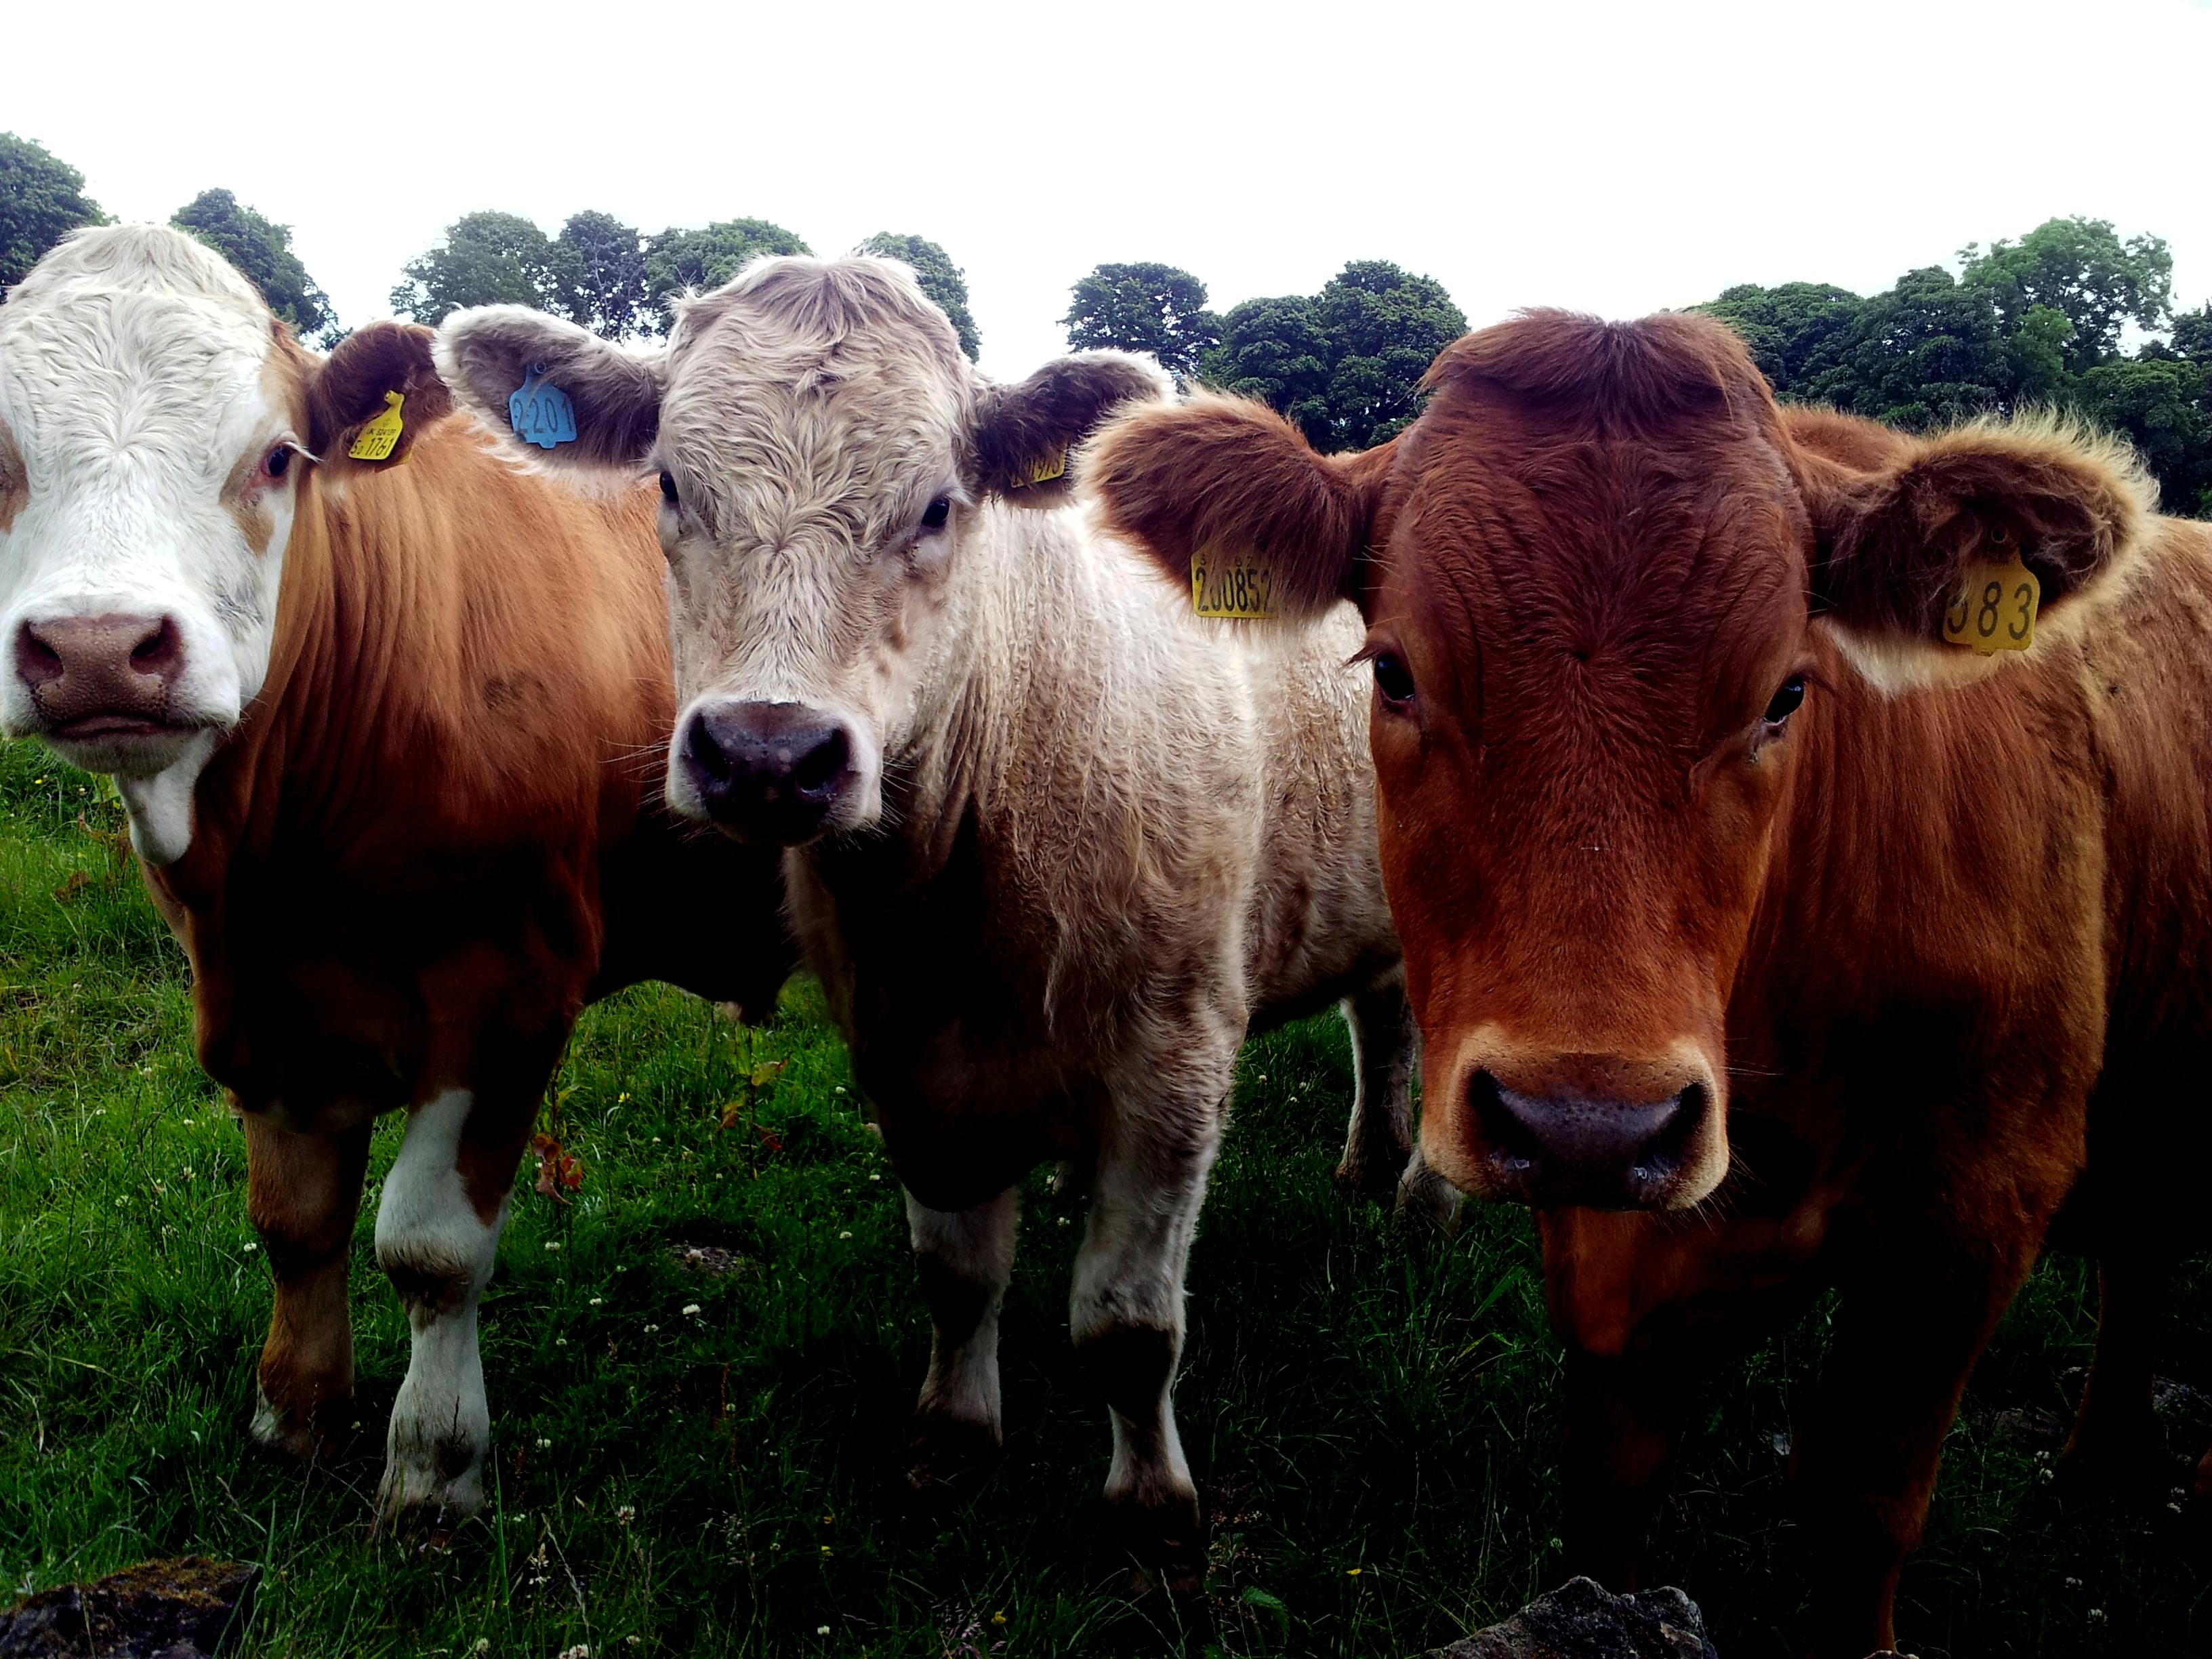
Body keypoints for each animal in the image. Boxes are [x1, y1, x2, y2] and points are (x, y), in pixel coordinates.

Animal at [0, 225, 793, 1529]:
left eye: (277, 456)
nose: (99, 647)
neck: (276, 865)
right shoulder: (259, 1007)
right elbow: (295, 1222)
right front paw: (295, 1413)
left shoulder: (510, 992)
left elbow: (427, 1248)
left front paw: (431, 1464)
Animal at [433, 255, 1437, 1582]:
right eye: (671, 485)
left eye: (937, 506)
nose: (767, 755)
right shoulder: (903, 1053)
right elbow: (956, 1275)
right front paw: (954, 1435)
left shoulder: (1174, 1057)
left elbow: (1126, 1324)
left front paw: (1150, 1509)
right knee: (1380, 1018)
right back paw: (1366, 1161)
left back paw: (1422, 1190)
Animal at [1081, 309, 2212, 1656]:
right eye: (1395, 672)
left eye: (1787, 691)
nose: (1588, 1119)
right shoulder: (1602, 1240)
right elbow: (1611, 1490)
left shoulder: (1974, 1210)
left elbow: (1867, 1494)